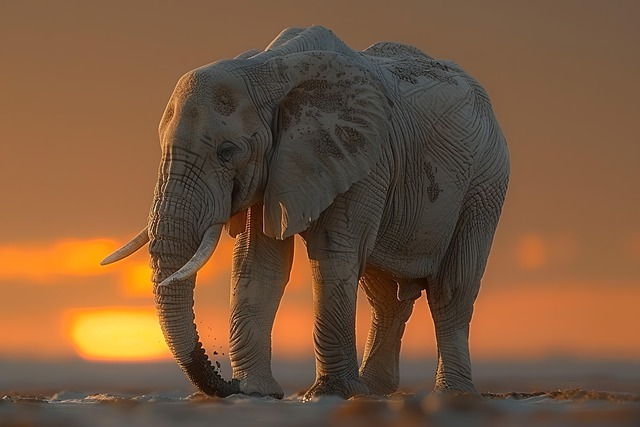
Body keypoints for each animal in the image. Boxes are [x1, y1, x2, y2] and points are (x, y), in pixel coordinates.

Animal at [102, 26, 509, 400]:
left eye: (226, 151)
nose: (224, 379)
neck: (268, 68)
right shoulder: (274, 166)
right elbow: (257, 263)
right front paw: (258, 392)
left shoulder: (363, 156)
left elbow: (332, 254)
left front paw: (330, 394)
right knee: (384, 296)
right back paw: (375, 393)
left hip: (485, 185)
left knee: (451, 290)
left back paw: (451, 395)